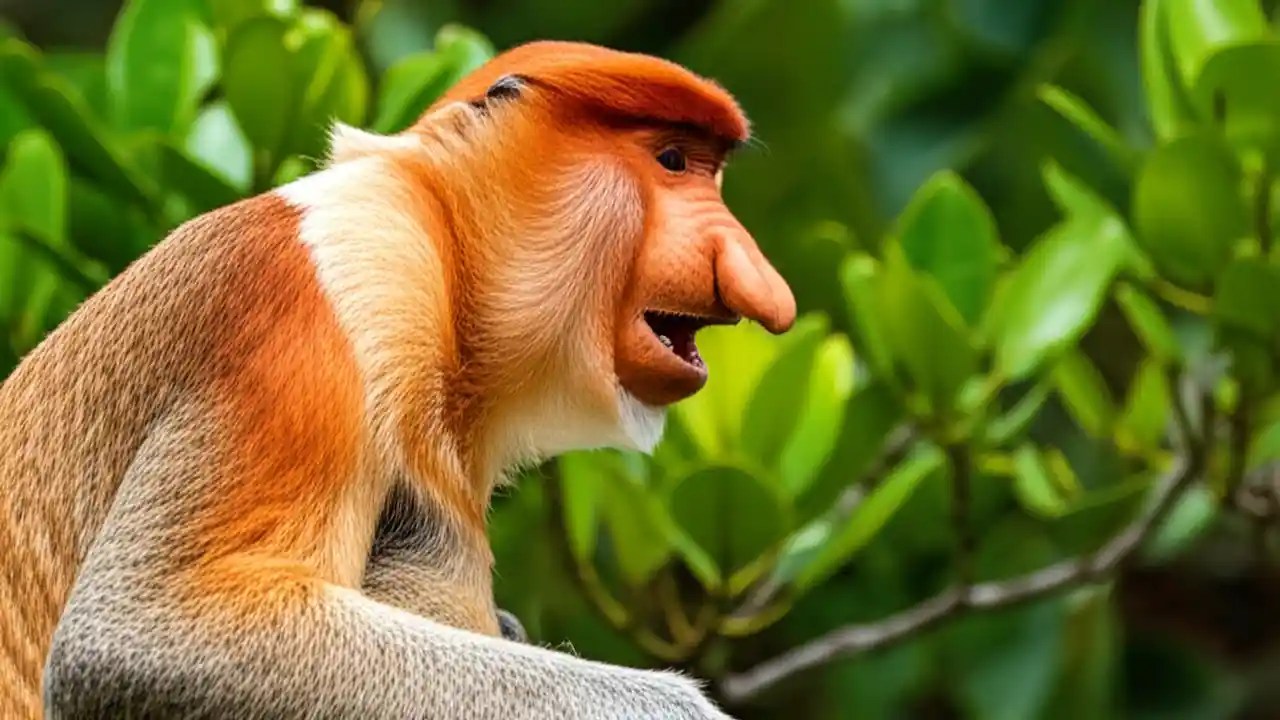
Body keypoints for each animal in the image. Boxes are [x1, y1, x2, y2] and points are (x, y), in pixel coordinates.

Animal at [0, 40, 796, 718]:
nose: (765, 285)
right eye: (671, 159)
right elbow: (141, 632)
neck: (446, 252)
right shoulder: (342, 283)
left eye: (708, 171)